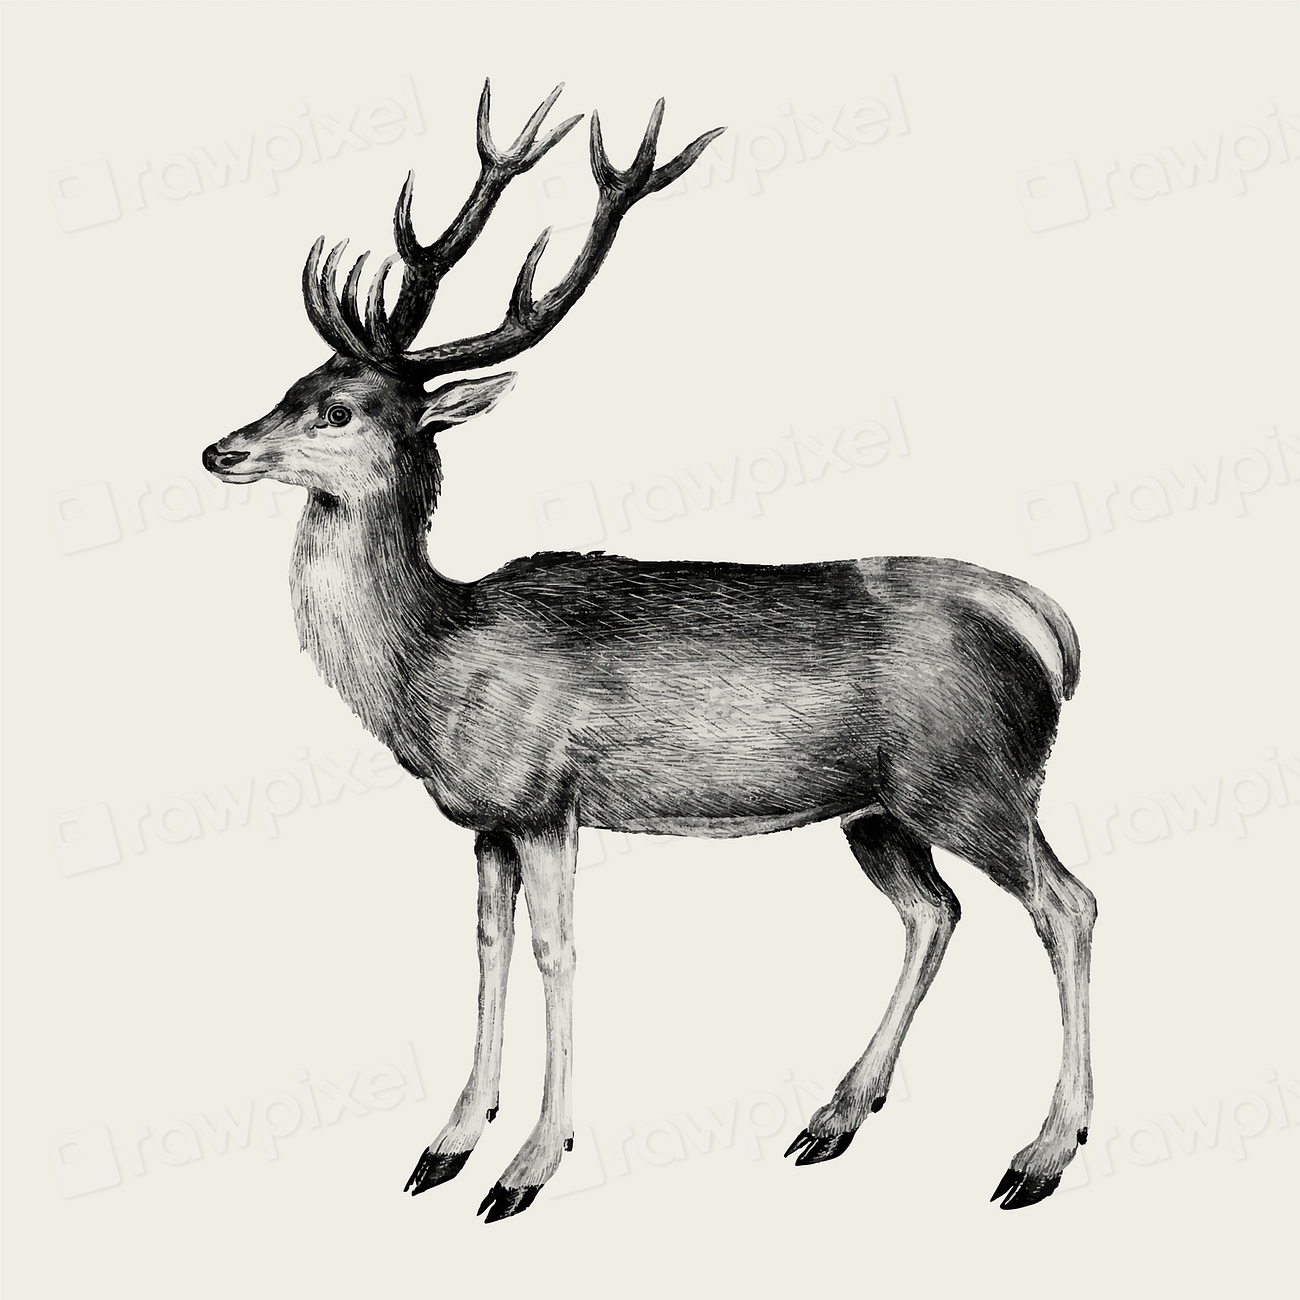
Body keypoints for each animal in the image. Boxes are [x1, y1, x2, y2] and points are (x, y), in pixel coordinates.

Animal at [202, 82, 1096, 1222]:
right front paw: (447, 1143)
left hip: (975, 778)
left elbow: (558, 951)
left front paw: (529, 1166)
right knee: (933, 911)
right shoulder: (485, 817)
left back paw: (1041, 1154)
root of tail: (1044, 624)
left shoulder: (545, 795)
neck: (429, 660)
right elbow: (488, 947)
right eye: (291, 379)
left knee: (1066, 903)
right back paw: (834, 1118)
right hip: (877, 809)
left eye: (338, 407)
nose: (219, 449)